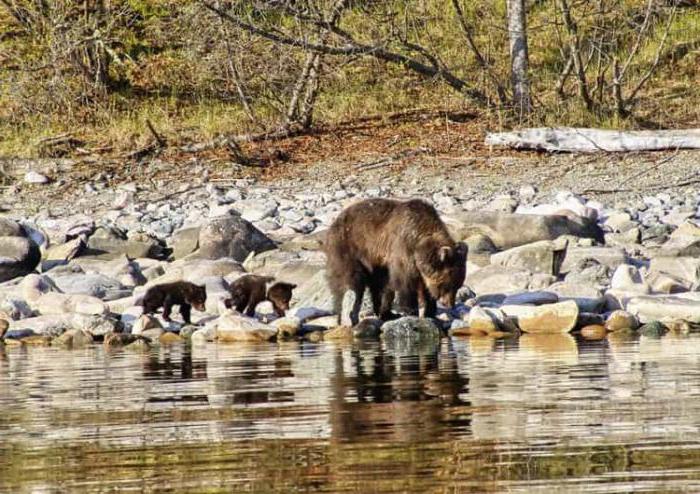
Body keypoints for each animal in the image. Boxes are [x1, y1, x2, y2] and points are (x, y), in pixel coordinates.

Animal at [324, 197, 468, 324]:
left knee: (377, 285)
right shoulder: (402, 249)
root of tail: (334, 223)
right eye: (448, 285)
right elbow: (405, 283)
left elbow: (421, 288)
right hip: (349, 246)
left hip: (373, 260)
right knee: (350, 281)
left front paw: (429, 312)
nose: (450, 304)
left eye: (458, 285)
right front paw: (411, 310)